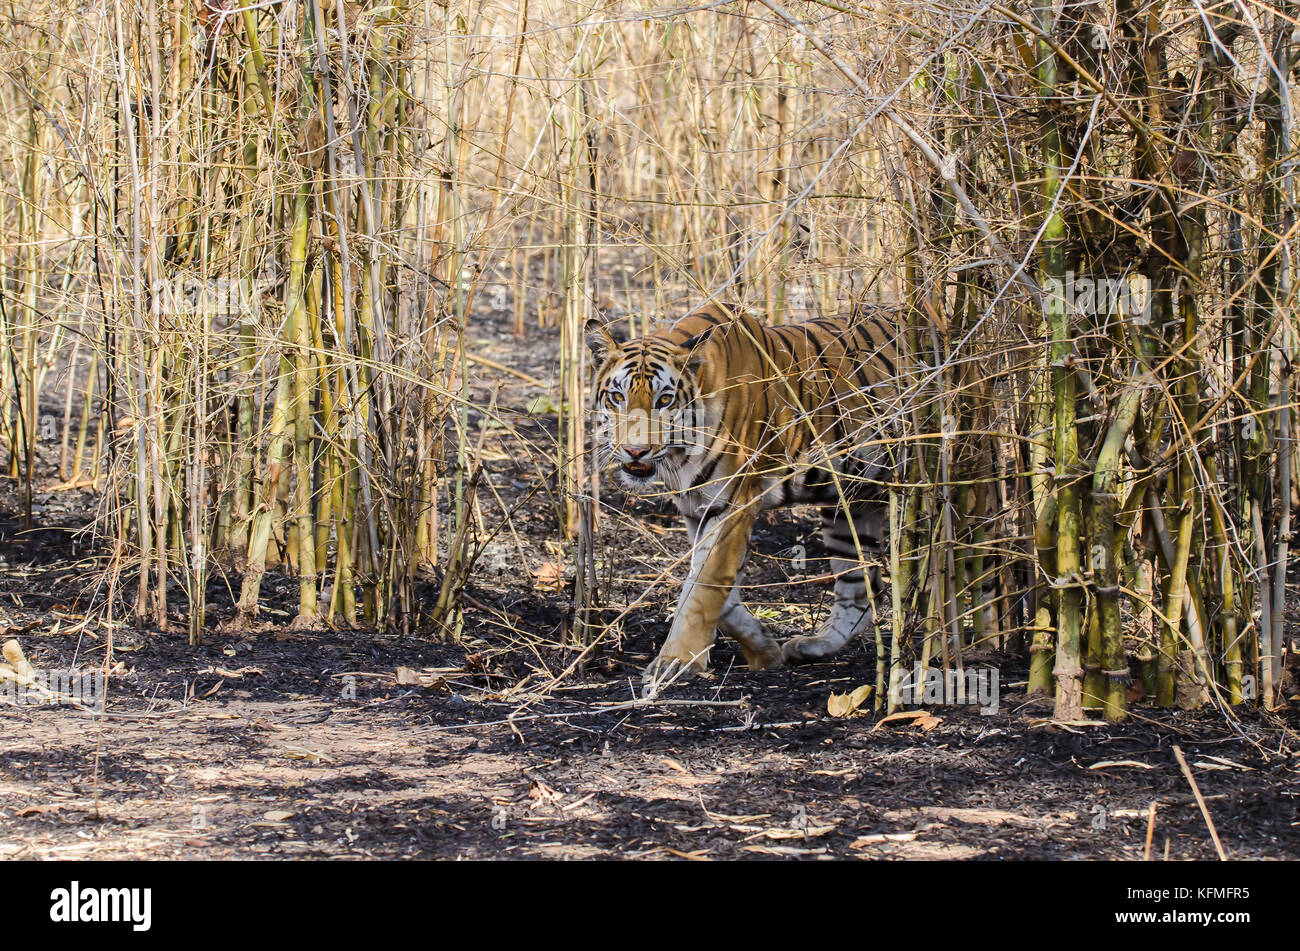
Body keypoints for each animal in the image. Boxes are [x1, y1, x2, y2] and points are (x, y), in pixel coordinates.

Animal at [586, 302, 902, 693]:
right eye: (617, 397)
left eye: (665, 400)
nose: (635, 451)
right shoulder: (697, 511)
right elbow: (716, 595)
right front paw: (764, 649)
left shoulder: (733, 503)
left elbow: (705, 589)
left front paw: (675, 662)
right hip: (850, 505)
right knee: (862, 585)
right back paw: (814, 646)